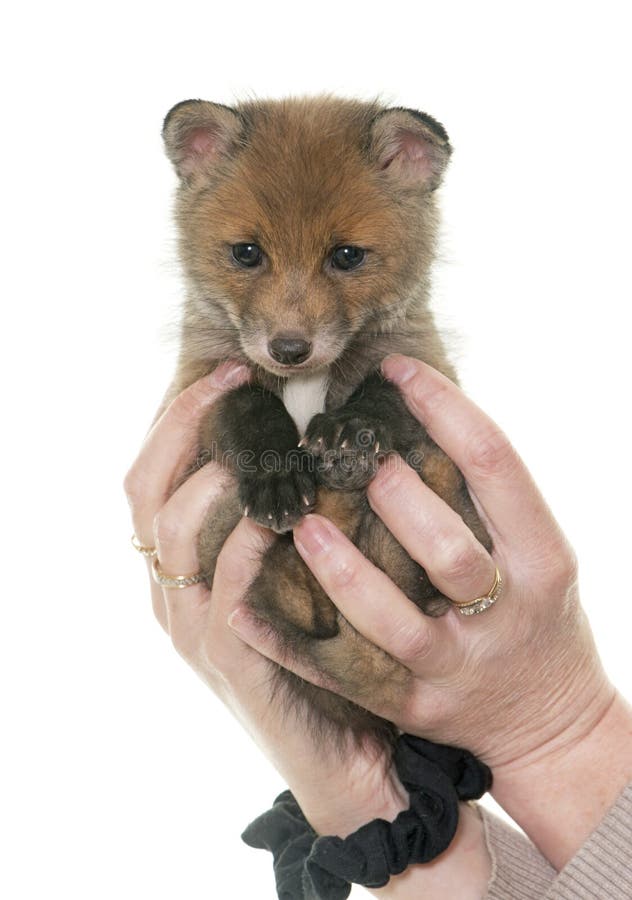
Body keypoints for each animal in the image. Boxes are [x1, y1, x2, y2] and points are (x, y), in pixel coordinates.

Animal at [161, 95, 491, 749]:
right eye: (246, 253)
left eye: (346, 256)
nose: (290, 349)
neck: (307, 387)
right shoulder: (200, 387)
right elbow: (247, 406)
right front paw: (277, 476)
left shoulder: (422, 362)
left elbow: (386, 391)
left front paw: (347, 431)